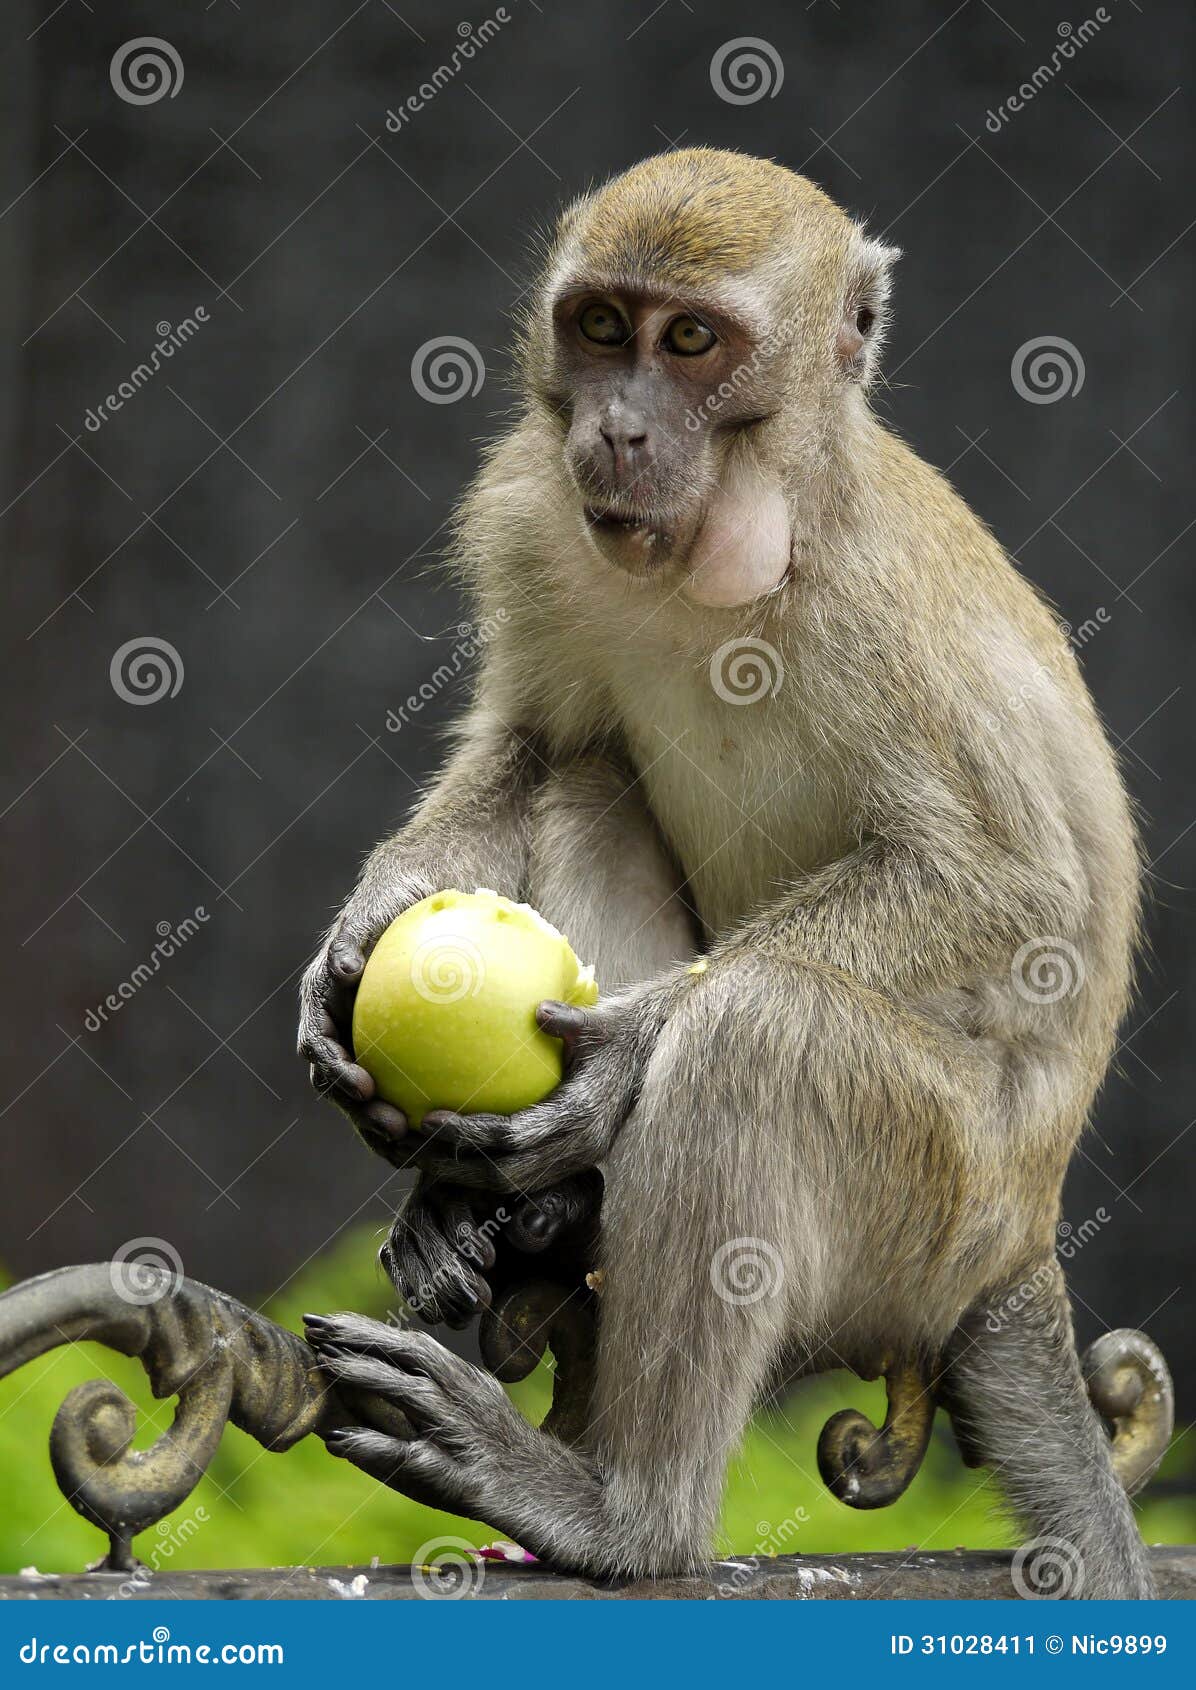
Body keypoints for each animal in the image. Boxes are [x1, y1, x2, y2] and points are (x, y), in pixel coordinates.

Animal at [297, 148, 1168, 1597]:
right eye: (604, 328)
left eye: (692, 344)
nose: (619, 433)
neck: (738, 528)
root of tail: (1022, 1243)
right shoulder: (533, 507)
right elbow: (531, 744)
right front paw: (359, 936)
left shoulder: (877, 609)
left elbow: (1012, 888)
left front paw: (623, 1052)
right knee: (585, 778)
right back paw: (535, 1210)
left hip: (937, 1195)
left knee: (755, 1036)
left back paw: (621, 1514)